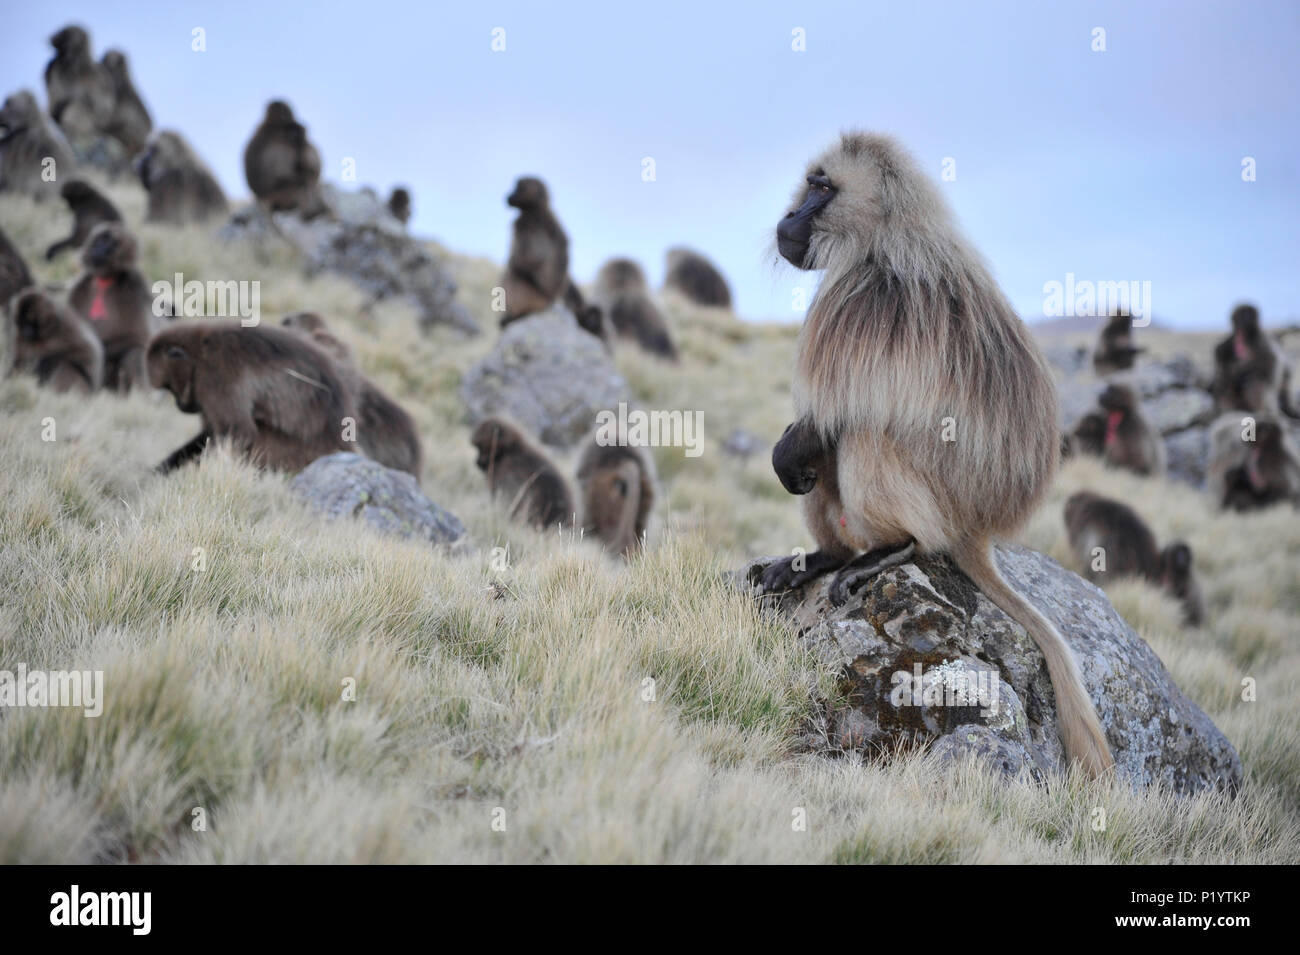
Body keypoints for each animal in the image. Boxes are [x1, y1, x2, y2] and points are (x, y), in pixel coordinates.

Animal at [66, 222, 155, 391]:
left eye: (111, 244)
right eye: (99, 241)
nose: (98, 250)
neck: (104, 280)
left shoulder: (134, 286)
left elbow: (137, 337)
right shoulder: (78, 288)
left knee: (134, 354)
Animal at [148, 320, 359, 473]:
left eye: (169, 388)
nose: (180, 405)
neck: (201, 351)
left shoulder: (216, 375)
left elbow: (238, 431)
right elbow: (212, 432)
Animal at [497, 176, 570, 322]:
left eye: (518, 187)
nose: (509, 195)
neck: (538, 208)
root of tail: (549, 301)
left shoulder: (523, 223)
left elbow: (528, 259)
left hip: (534, 298)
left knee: (512, 273)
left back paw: (515, 315)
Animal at [757, 132, 1113, 777]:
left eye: (822, 189)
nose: (787, 219)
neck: (887, 236)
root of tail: (979, 528)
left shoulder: (860, 298)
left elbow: (831, 413)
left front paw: (790, 449)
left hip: (942, 506)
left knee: (862, 435)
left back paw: (891, 550)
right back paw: (823, 558)